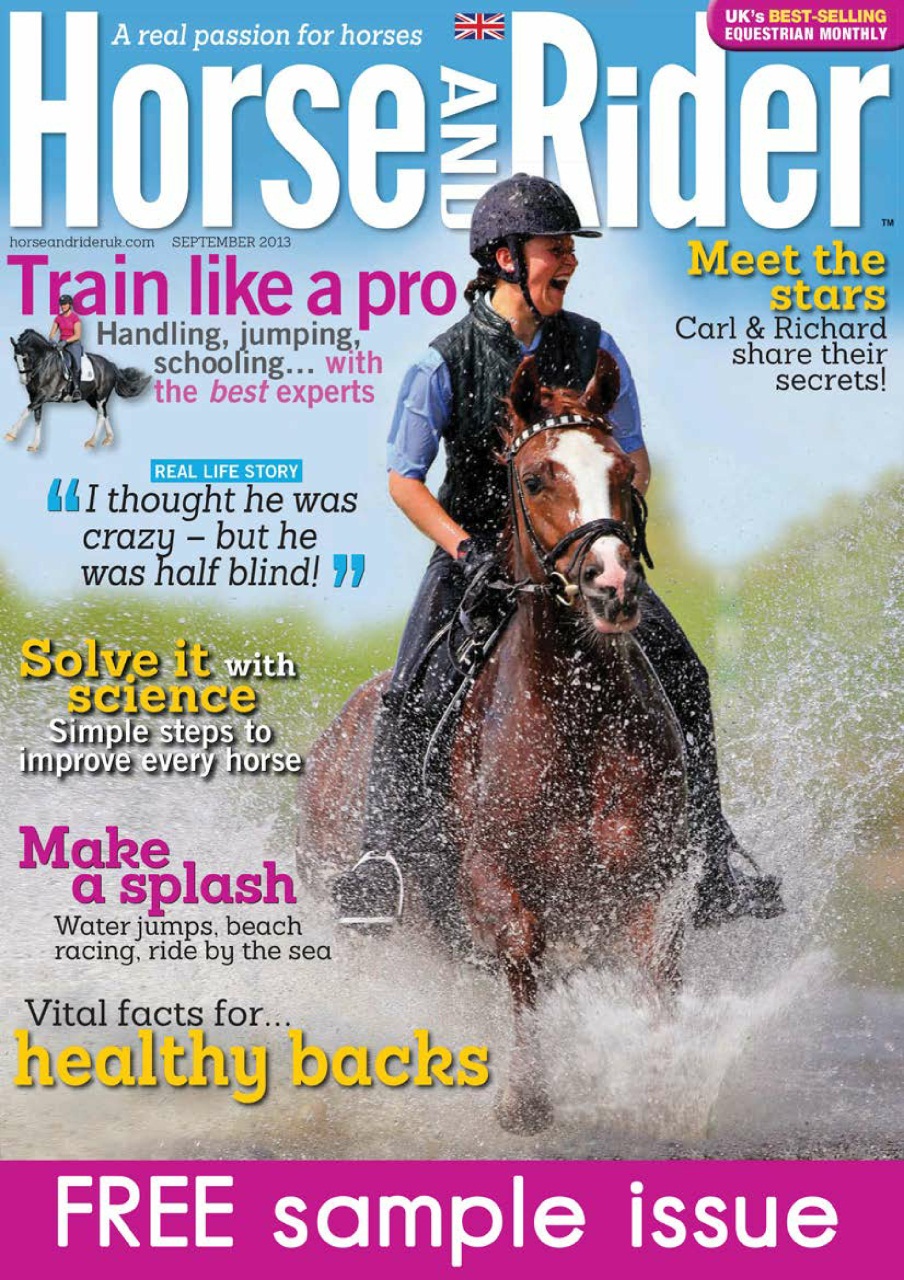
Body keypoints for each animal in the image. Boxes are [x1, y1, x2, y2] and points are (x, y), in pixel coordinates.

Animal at [6, 329, 151, 452]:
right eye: (14, 358)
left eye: (26, 357)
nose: (23, 380)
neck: (44, 364)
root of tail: (110, 364)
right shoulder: (35, 397)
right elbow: (37, 418)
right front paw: (34, 445)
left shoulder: (43, 395)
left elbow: (26, 411)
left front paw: (10, 434)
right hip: (91, 398)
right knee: (104, 413)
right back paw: (109, 438)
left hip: (100, 396)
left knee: (101, 416)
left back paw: (91, 441)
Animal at [298, 351, 689, 1133]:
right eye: (535, 477)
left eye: (622, 472)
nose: (611, 585)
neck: (576, 714)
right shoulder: (490, 879)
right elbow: (521, 949)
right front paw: (525, 1098)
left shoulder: (648, 880)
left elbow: (655, 961)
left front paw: (662, 1085)